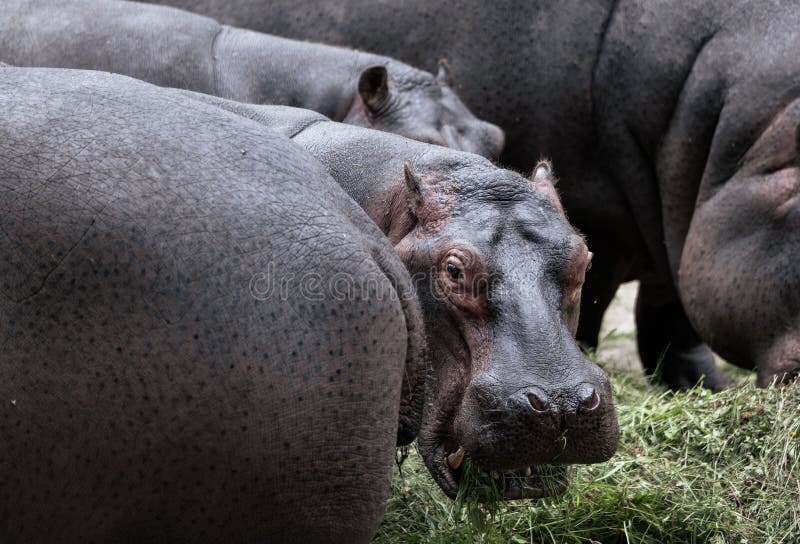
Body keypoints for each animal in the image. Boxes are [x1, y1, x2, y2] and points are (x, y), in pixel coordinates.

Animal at [151, 0, 800, 388]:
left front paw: (707, 387)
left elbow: (673, 323)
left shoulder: (678, 232)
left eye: (498, 136)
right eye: (794, 191)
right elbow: (595, 314)